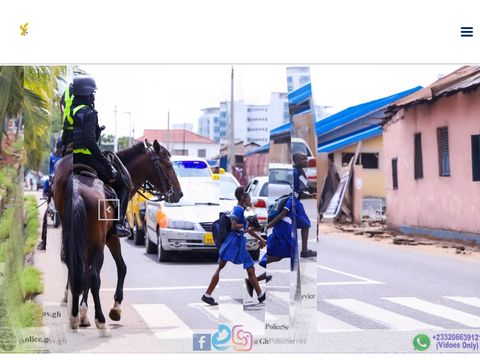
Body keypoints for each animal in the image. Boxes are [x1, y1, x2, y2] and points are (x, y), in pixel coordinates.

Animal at [53, 140, 182, 334]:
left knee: (76, 268)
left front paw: (82, 312)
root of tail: (77, 194)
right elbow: (122, 268)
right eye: (167, 164)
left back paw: (74, 314)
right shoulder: (111, 239)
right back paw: (100, 320)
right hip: (98, 244)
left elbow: (85, 272)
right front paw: (115, 308)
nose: (179, 193)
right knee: (93, 276)